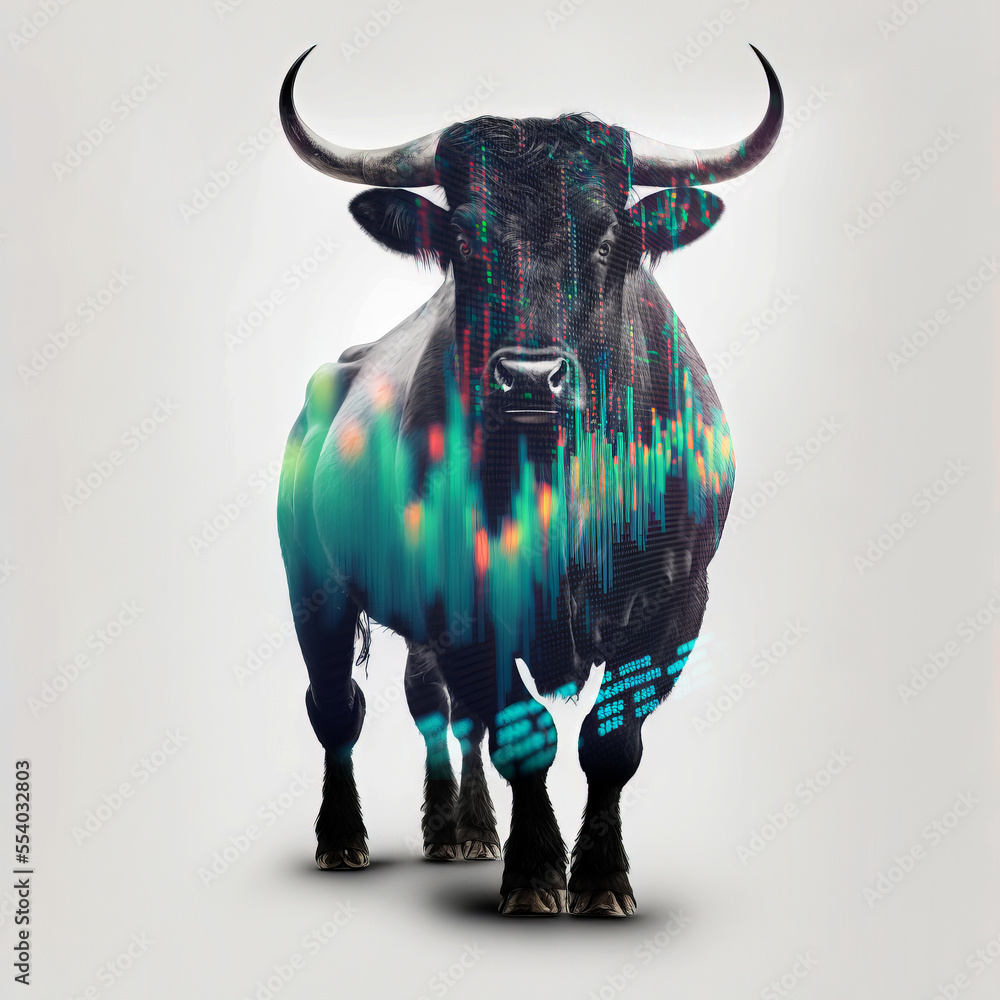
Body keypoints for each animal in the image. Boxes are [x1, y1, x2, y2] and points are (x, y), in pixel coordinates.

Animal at [275, 45, 782, 916]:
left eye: (606, 233)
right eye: (464, 239)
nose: (529, 378)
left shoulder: (680, 603)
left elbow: (609, 741)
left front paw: (601, 879)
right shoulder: (460, 599)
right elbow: (526, 737)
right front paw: (536, 874)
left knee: (437, 711)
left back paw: (462, 832)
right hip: (317, 592)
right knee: (339, 710)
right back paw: (344, 839)